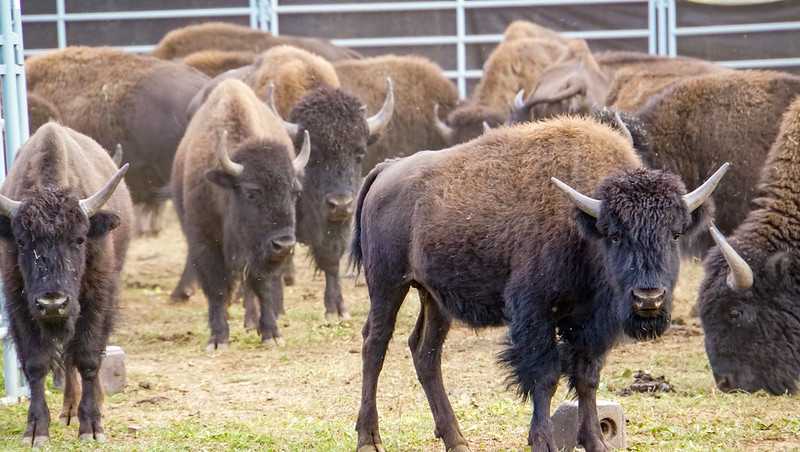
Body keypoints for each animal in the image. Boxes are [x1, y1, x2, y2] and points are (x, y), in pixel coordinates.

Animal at [0, 123, 132, 445]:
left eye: (80, 239)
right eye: (21, 241)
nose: (53, 303)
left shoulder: (97, 301)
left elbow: (88, 359)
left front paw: (92, 427)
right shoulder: (19, 305)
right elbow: (36, 363)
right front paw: (36, 431)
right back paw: (68, 410)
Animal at [351, 114, 726, 451]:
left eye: (674, 235)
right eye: (615, 236)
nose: (649, 298)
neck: (582, 224)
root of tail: (387, 170)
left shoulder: (590, 323)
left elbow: (587, 378)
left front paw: (595, 442)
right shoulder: (536, 313)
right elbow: (545, 376)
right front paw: (543, 441)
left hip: (434, 297)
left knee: (426, 352)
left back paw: (457, 440)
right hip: (387, 284)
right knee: (375, 344)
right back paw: (369, 439)